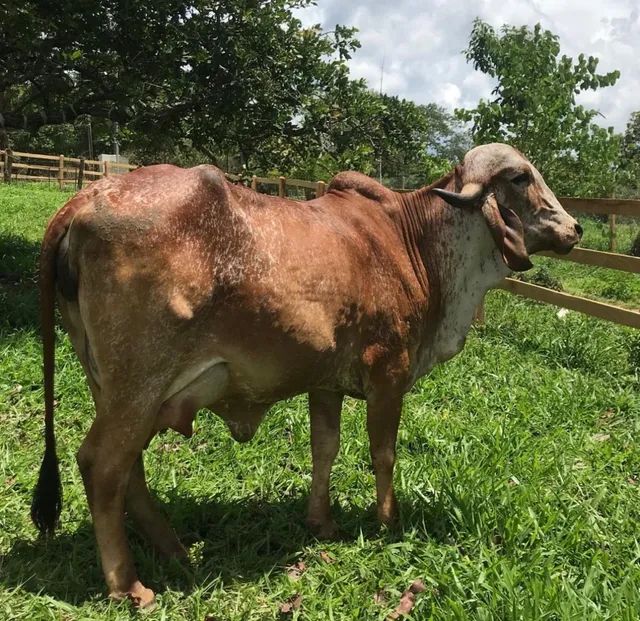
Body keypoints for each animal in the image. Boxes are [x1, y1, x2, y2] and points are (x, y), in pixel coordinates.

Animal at [31, 143, 581, 607]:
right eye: (520, 177)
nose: (575, 228)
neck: (415, 243)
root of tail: (85, 198)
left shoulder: (324, 383)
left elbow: (325, 449)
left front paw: (322, 522)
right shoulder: (389, 376)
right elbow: (383, 454)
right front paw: (388, 520)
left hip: (118, 390)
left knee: (130, 470)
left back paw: (173, 548)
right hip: (137, 387)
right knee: (102, 466)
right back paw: (129, 585)